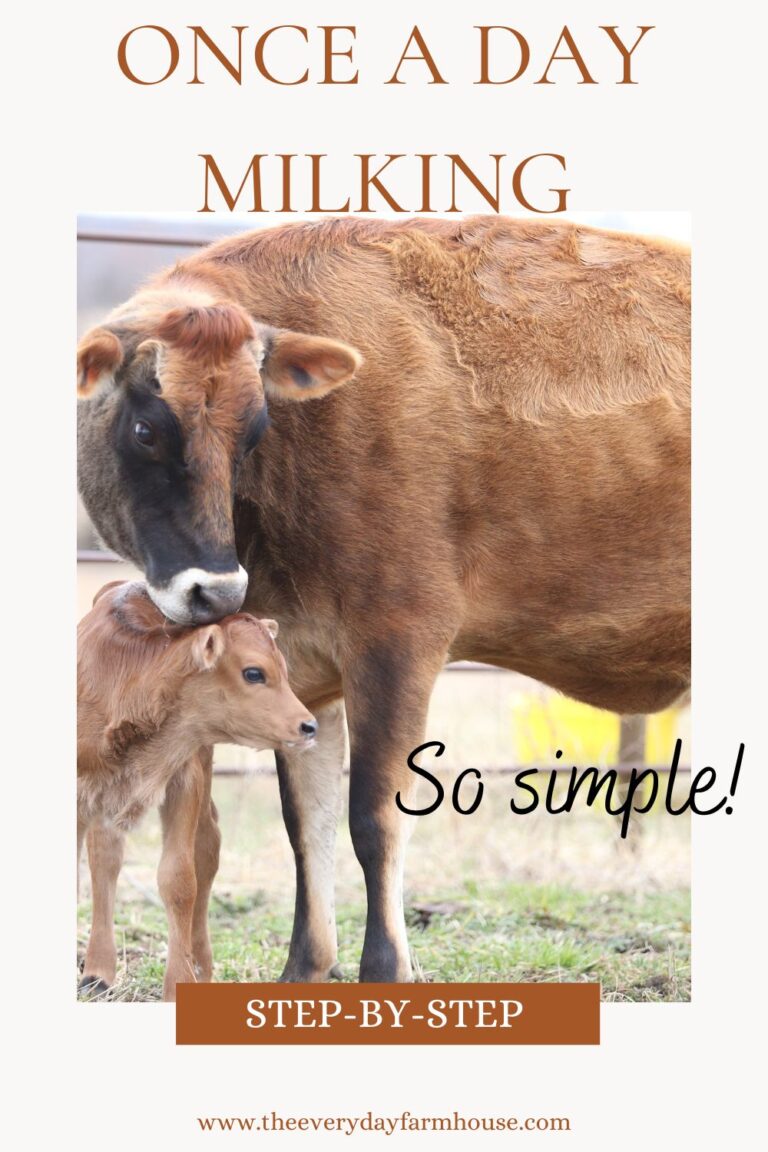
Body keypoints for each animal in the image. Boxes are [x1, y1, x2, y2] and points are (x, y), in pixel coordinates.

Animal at [77, 579, 317, 1000]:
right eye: (253, 672)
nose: (309, 725)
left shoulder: (184, 778)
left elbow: (178, 879)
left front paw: (179, 981)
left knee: (206, 850)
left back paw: (199, 964)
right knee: (105, 856)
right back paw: (98, 971)